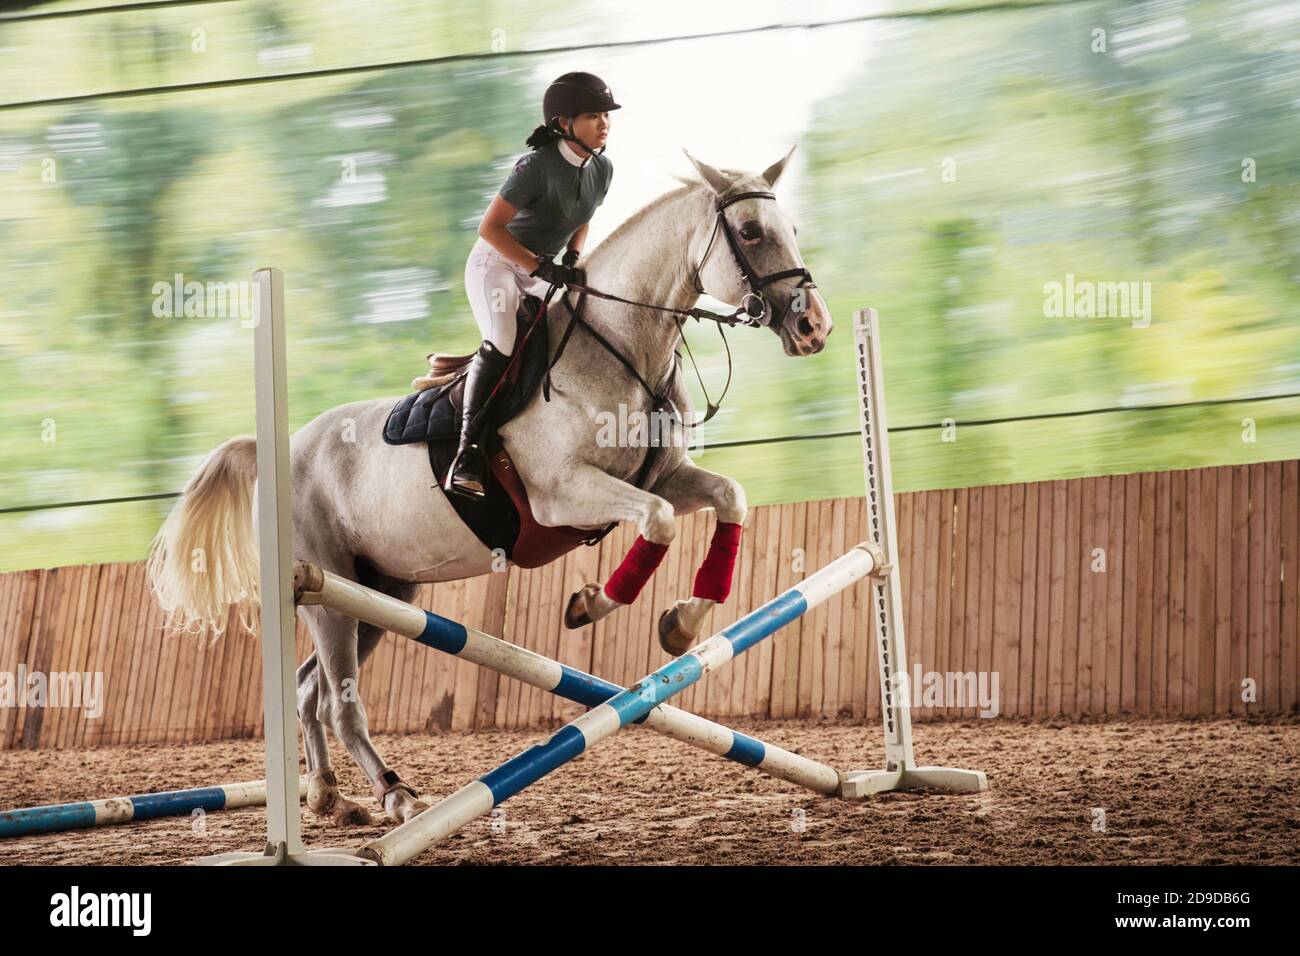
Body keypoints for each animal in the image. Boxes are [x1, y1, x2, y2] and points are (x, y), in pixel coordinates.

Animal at [146, 148, 834, 827]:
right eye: (751, 232)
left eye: (794, 228)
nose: (814, 328)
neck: (621, 351)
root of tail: (281, 450)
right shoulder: (563, 496)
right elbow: (660, 520)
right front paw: (592, 604)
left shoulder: (661, 477)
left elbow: (728, 497)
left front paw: (681, 623)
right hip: (325, 588)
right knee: (339, 700)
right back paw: (395, 795)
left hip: (380, 590)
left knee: (311, 688)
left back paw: (329, 796)